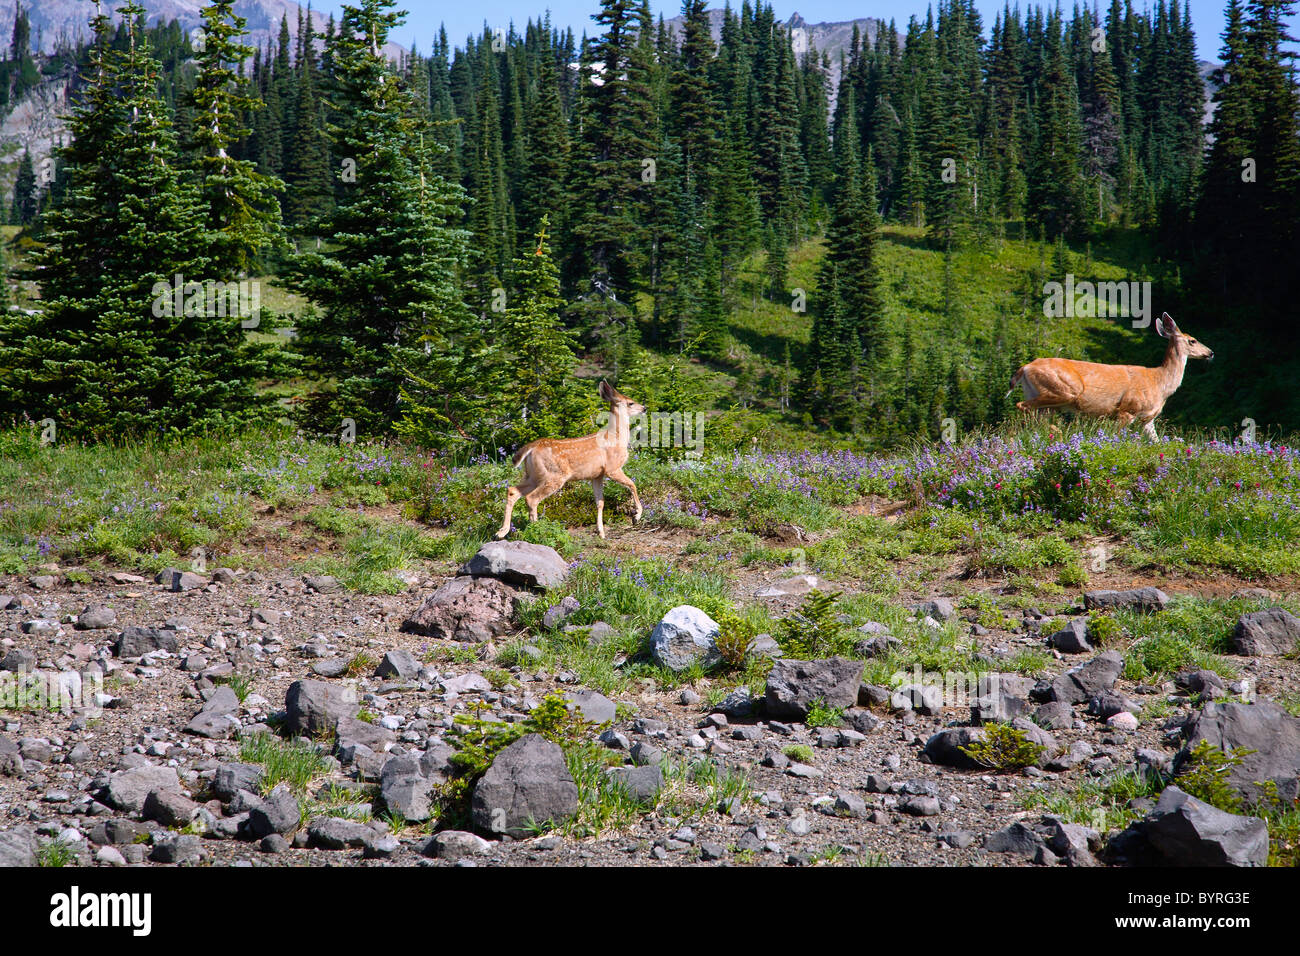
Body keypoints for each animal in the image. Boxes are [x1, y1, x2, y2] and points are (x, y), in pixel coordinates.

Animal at [496, 380, 646, 540]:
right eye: (630, 403)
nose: (644, 408)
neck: (616, 437)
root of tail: (532, 447)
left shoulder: (597, 475)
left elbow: (600, 502)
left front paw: (601, 533)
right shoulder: (612, 468)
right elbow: (632, 485)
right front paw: (636, 516)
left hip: (534, 475)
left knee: (512, 491)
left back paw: (501, 532)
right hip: (554, 475)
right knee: (531, 498)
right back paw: (538, 531)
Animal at [1009, 312, 1213, 440]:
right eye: (1192, 340)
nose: (1210, 353)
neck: (1160, 382)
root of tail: (1025, 368)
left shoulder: (1148, 419)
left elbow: (1157, 442)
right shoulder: (1127, 409)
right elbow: (1114, 435)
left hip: (1042, 397)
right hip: (1063, 391)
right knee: (1023, 406)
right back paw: (1060, 432)